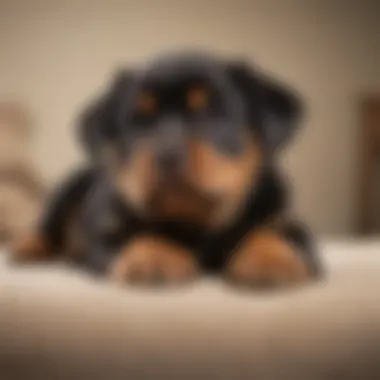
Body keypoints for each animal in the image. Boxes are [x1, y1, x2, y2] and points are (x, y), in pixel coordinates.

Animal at [11, 51, 320, 288]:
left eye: (211, 113)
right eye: (139, 121)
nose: (168, 156)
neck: (196, 223)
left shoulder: (287, 223)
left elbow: (272, 234)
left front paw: (271, 258)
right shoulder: (104, 238)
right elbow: (143, 234)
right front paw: (154, 257)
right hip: (67, 188)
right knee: (46, 227)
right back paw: (27, 249)